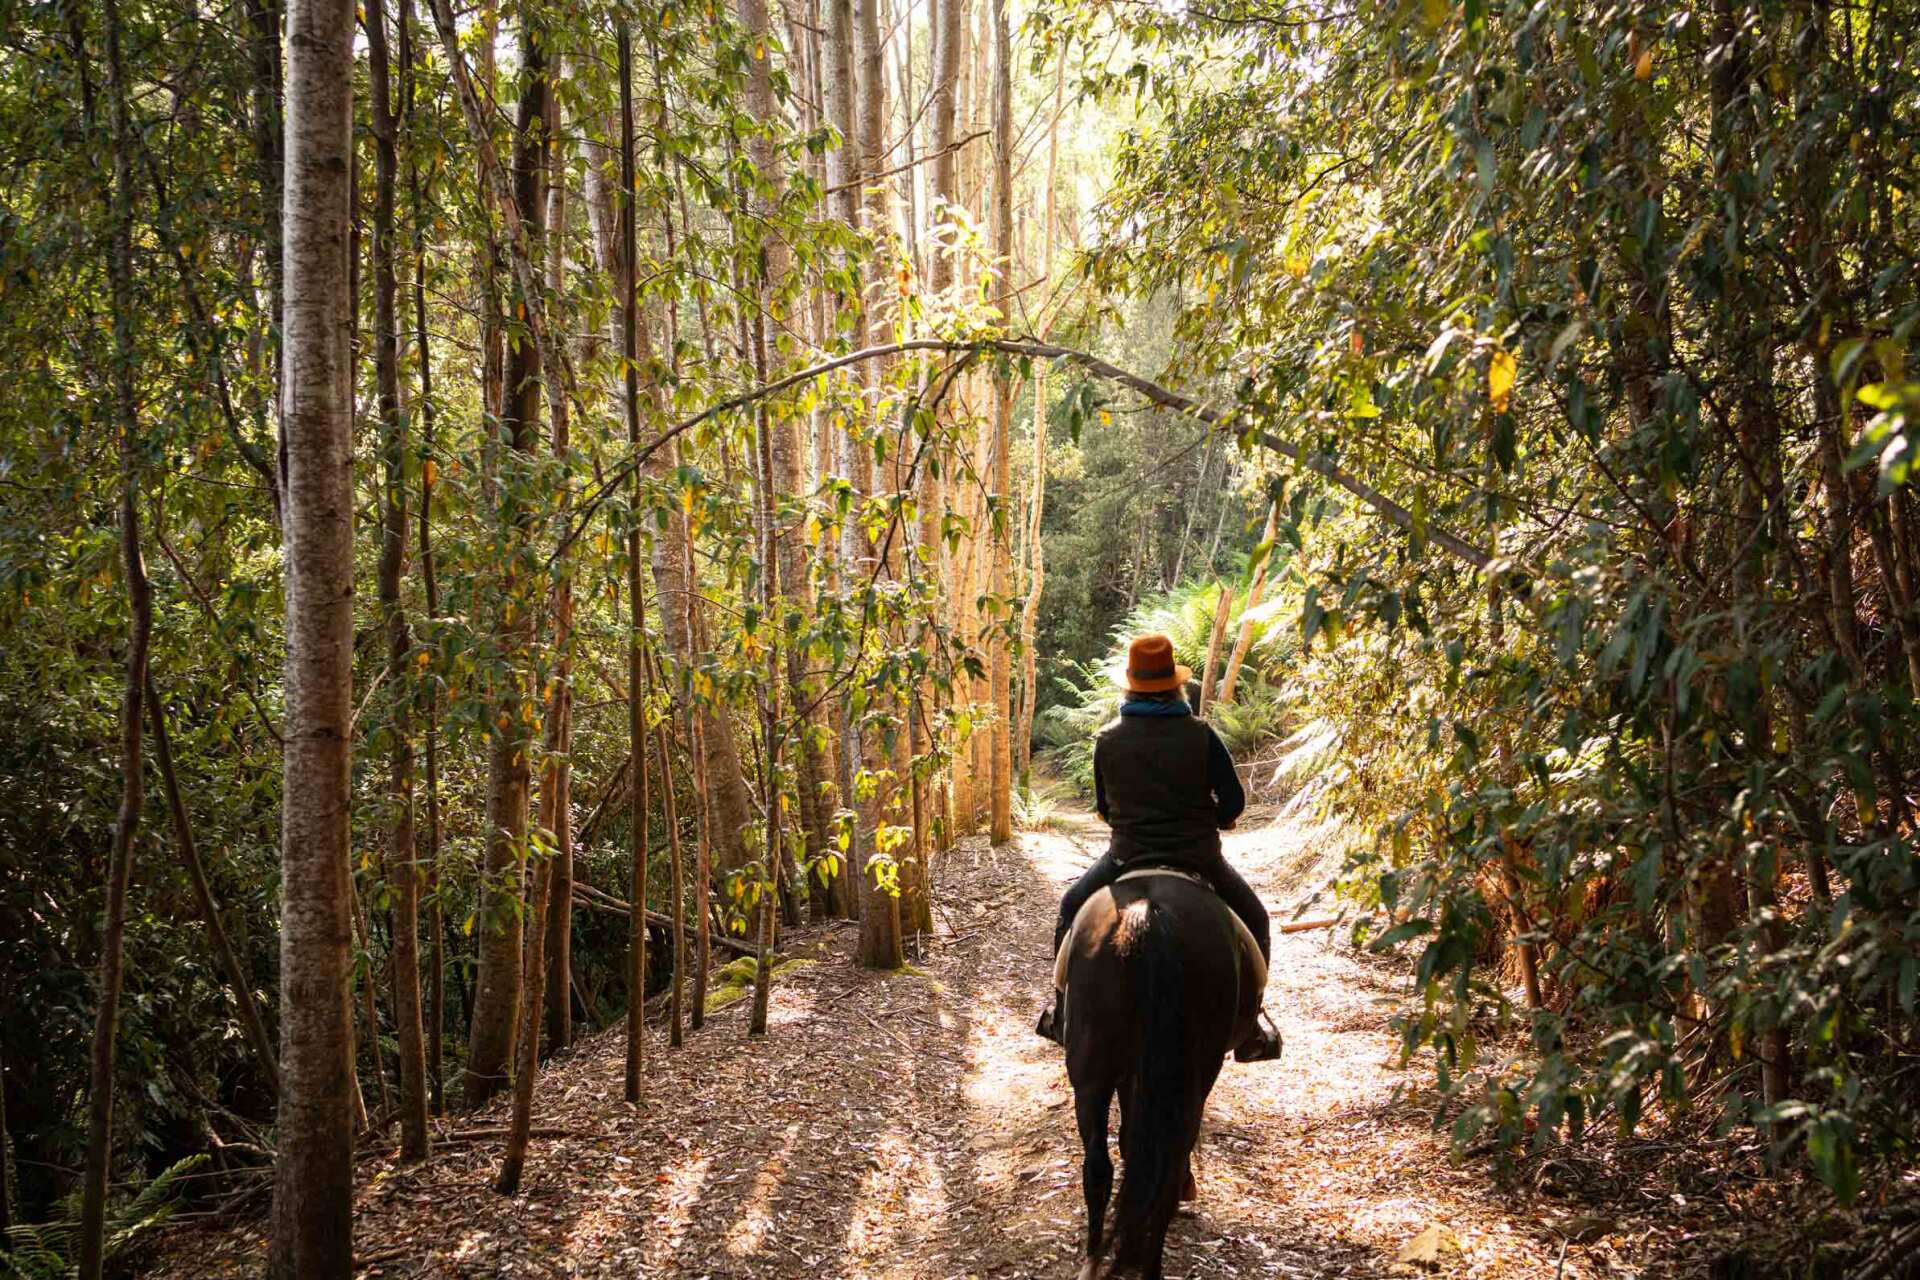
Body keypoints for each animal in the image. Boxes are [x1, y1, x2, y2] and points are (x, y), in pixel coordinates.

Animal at [1059, 871, 1265, 1279]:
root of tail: (1148, 915)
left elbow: (1131, 1140)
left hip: (1092, 1076)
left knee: (1098, 1167)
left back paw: (1098, 1258)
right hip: (1192, 1078)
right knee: (1165, 1169)